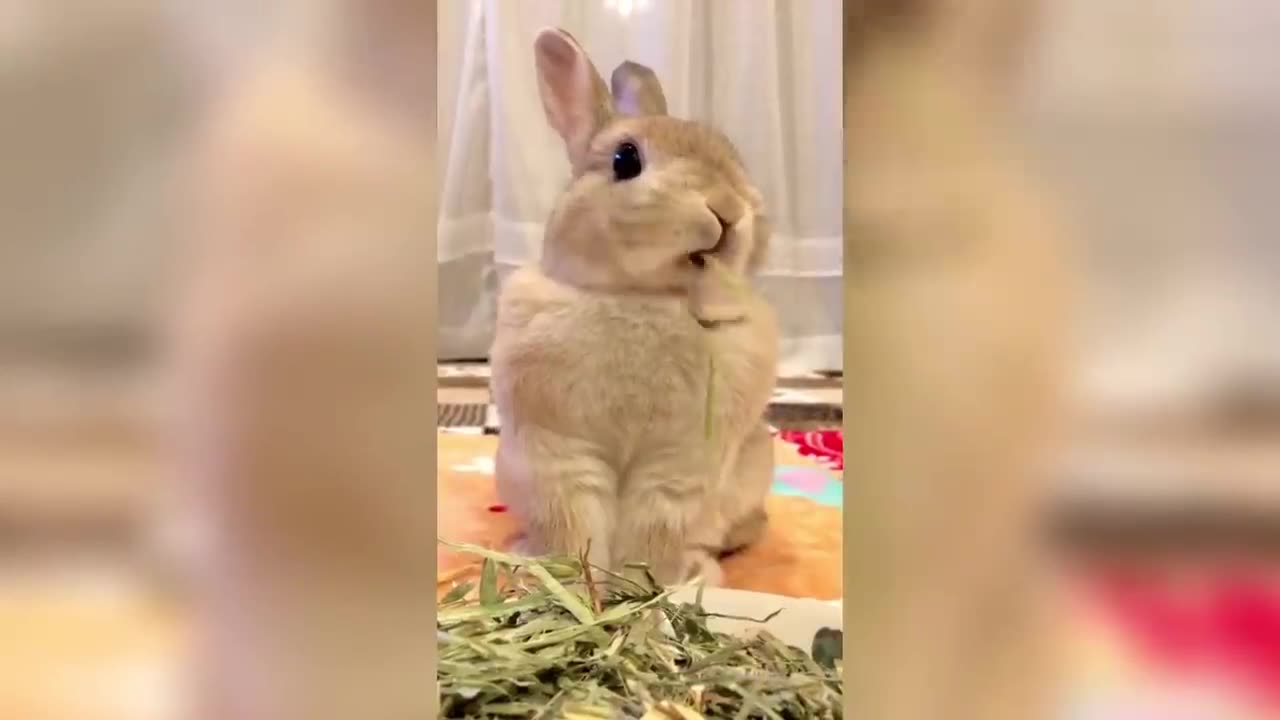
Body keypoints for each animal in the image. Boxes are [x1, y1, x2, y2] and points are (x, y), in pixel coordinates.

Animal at [491, 28, 779, 587]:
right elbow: (572, 521)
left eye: (732, 158)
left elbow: (656, 528)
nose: (728, 210)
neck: (642, 296)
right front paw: (565, 576)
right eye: (626, 160)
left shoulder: (679, 467)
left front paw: (651, 584)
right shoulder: (558, 453)